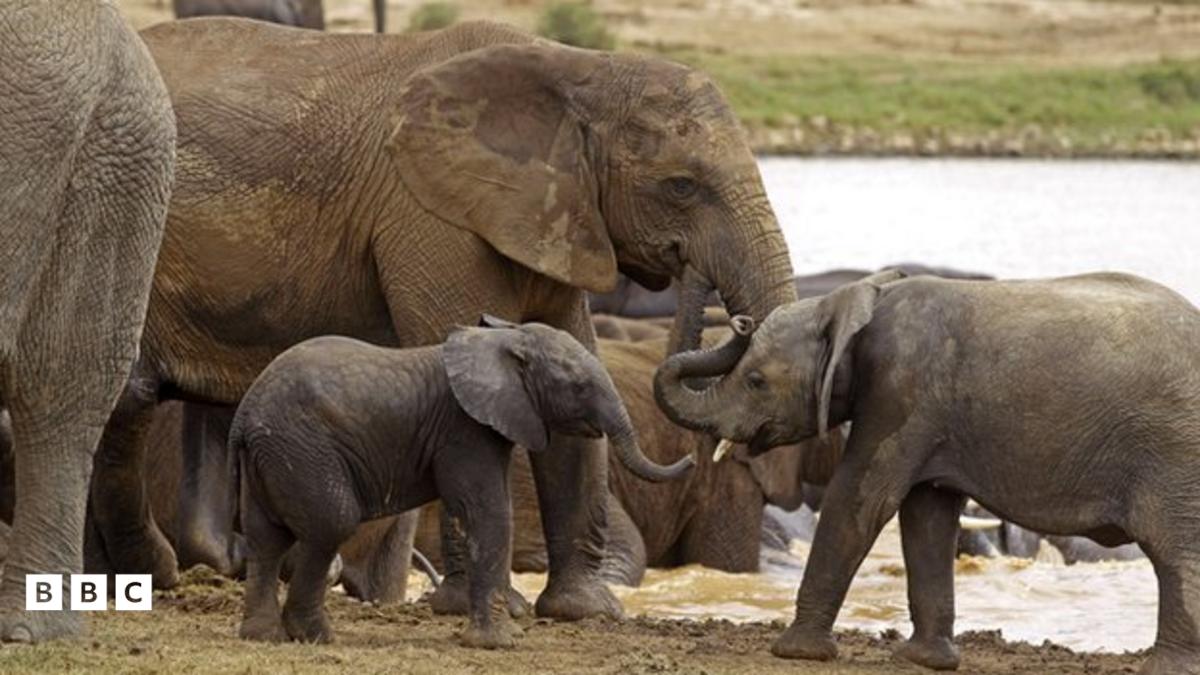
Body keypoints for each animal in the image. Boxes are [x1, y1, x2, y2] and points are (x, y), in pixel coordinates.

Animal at [232, 318, 692, 647]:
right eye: (579, 387)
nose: (690, 458)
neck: (503, 341)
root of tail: (244, 415)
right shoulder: (464, 430)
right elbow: (488, 512)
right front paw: (498, 643)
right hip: (302, 450)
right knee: (331, 524)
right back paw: (315, 636)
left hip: (274, 457)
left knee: (266, 538)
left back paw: (264, 635)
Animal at [655, 270, 1200, 674]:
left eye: (755, 380)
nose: (741, 320)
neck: (854, 301)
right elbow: (927, 514)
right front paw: (925, 661)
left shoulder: (900, 392)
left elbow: (861, 498)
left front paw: (796, 652)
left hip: (1172, 449)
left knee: (1174, 549)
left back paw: (1167, 667)